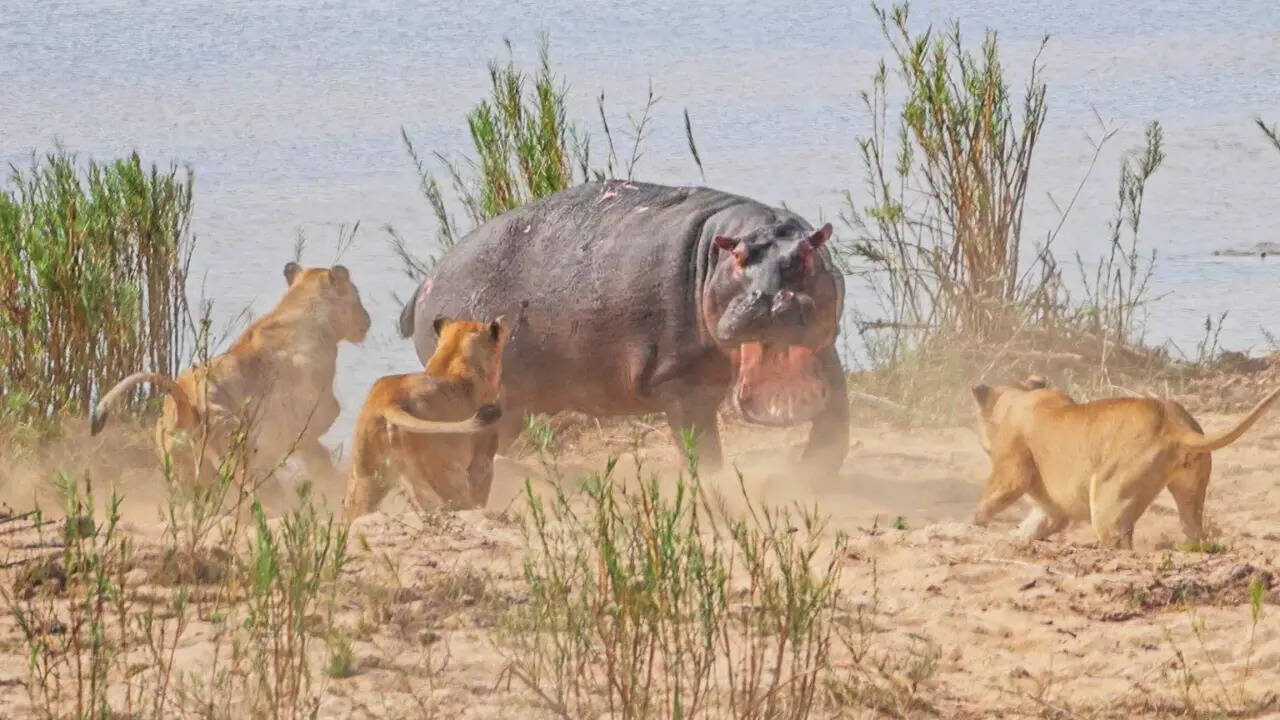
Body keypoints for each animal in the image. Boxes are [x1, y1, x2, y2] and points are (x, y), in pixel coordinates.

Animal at [398, 180, 848, 501]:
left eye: (807, 253)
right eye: (738, 258)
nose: (771, 297)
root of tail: (425, 281)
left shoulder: (828, 354)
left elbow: (833, 424)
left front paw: (814, 477)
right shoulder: (682, 384)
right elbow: (701, 446)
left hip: (509, 406)